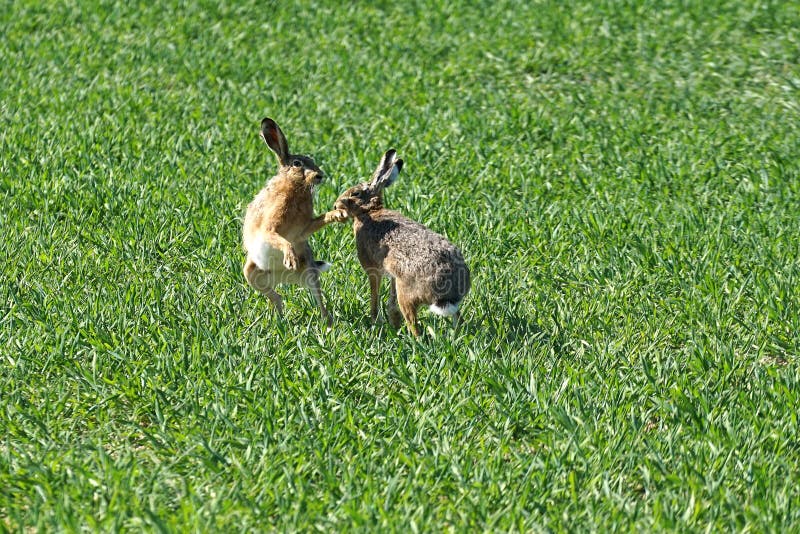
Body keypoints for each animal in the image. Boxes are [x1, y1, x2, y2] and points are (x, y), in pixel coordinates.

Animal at [242, 117, 347, 323]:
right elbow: (279, 238)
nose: (320, 175)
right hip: (250, 272)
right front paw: (290, 258)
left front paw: (338, 214)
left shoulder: (303, 229)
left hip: (310, 272)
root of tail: (285, 278)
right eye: (297, 163)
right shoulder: (270, 228)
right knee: (276, 297)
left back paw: (326, 323)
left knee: (315, 299)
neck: (296, 187)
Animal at [333, 149, 470, 336]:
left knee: (415, 326)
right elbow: (391, 305)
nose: (335, 205)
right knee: (458, 318)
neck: (370, 212)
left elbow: (375, 294)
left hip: (405, 293)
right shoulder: (392, 275)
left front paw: (375, 322)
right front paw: (393, 325)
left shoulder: (372, 269)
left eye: (355, 194)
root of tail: (447, 290)